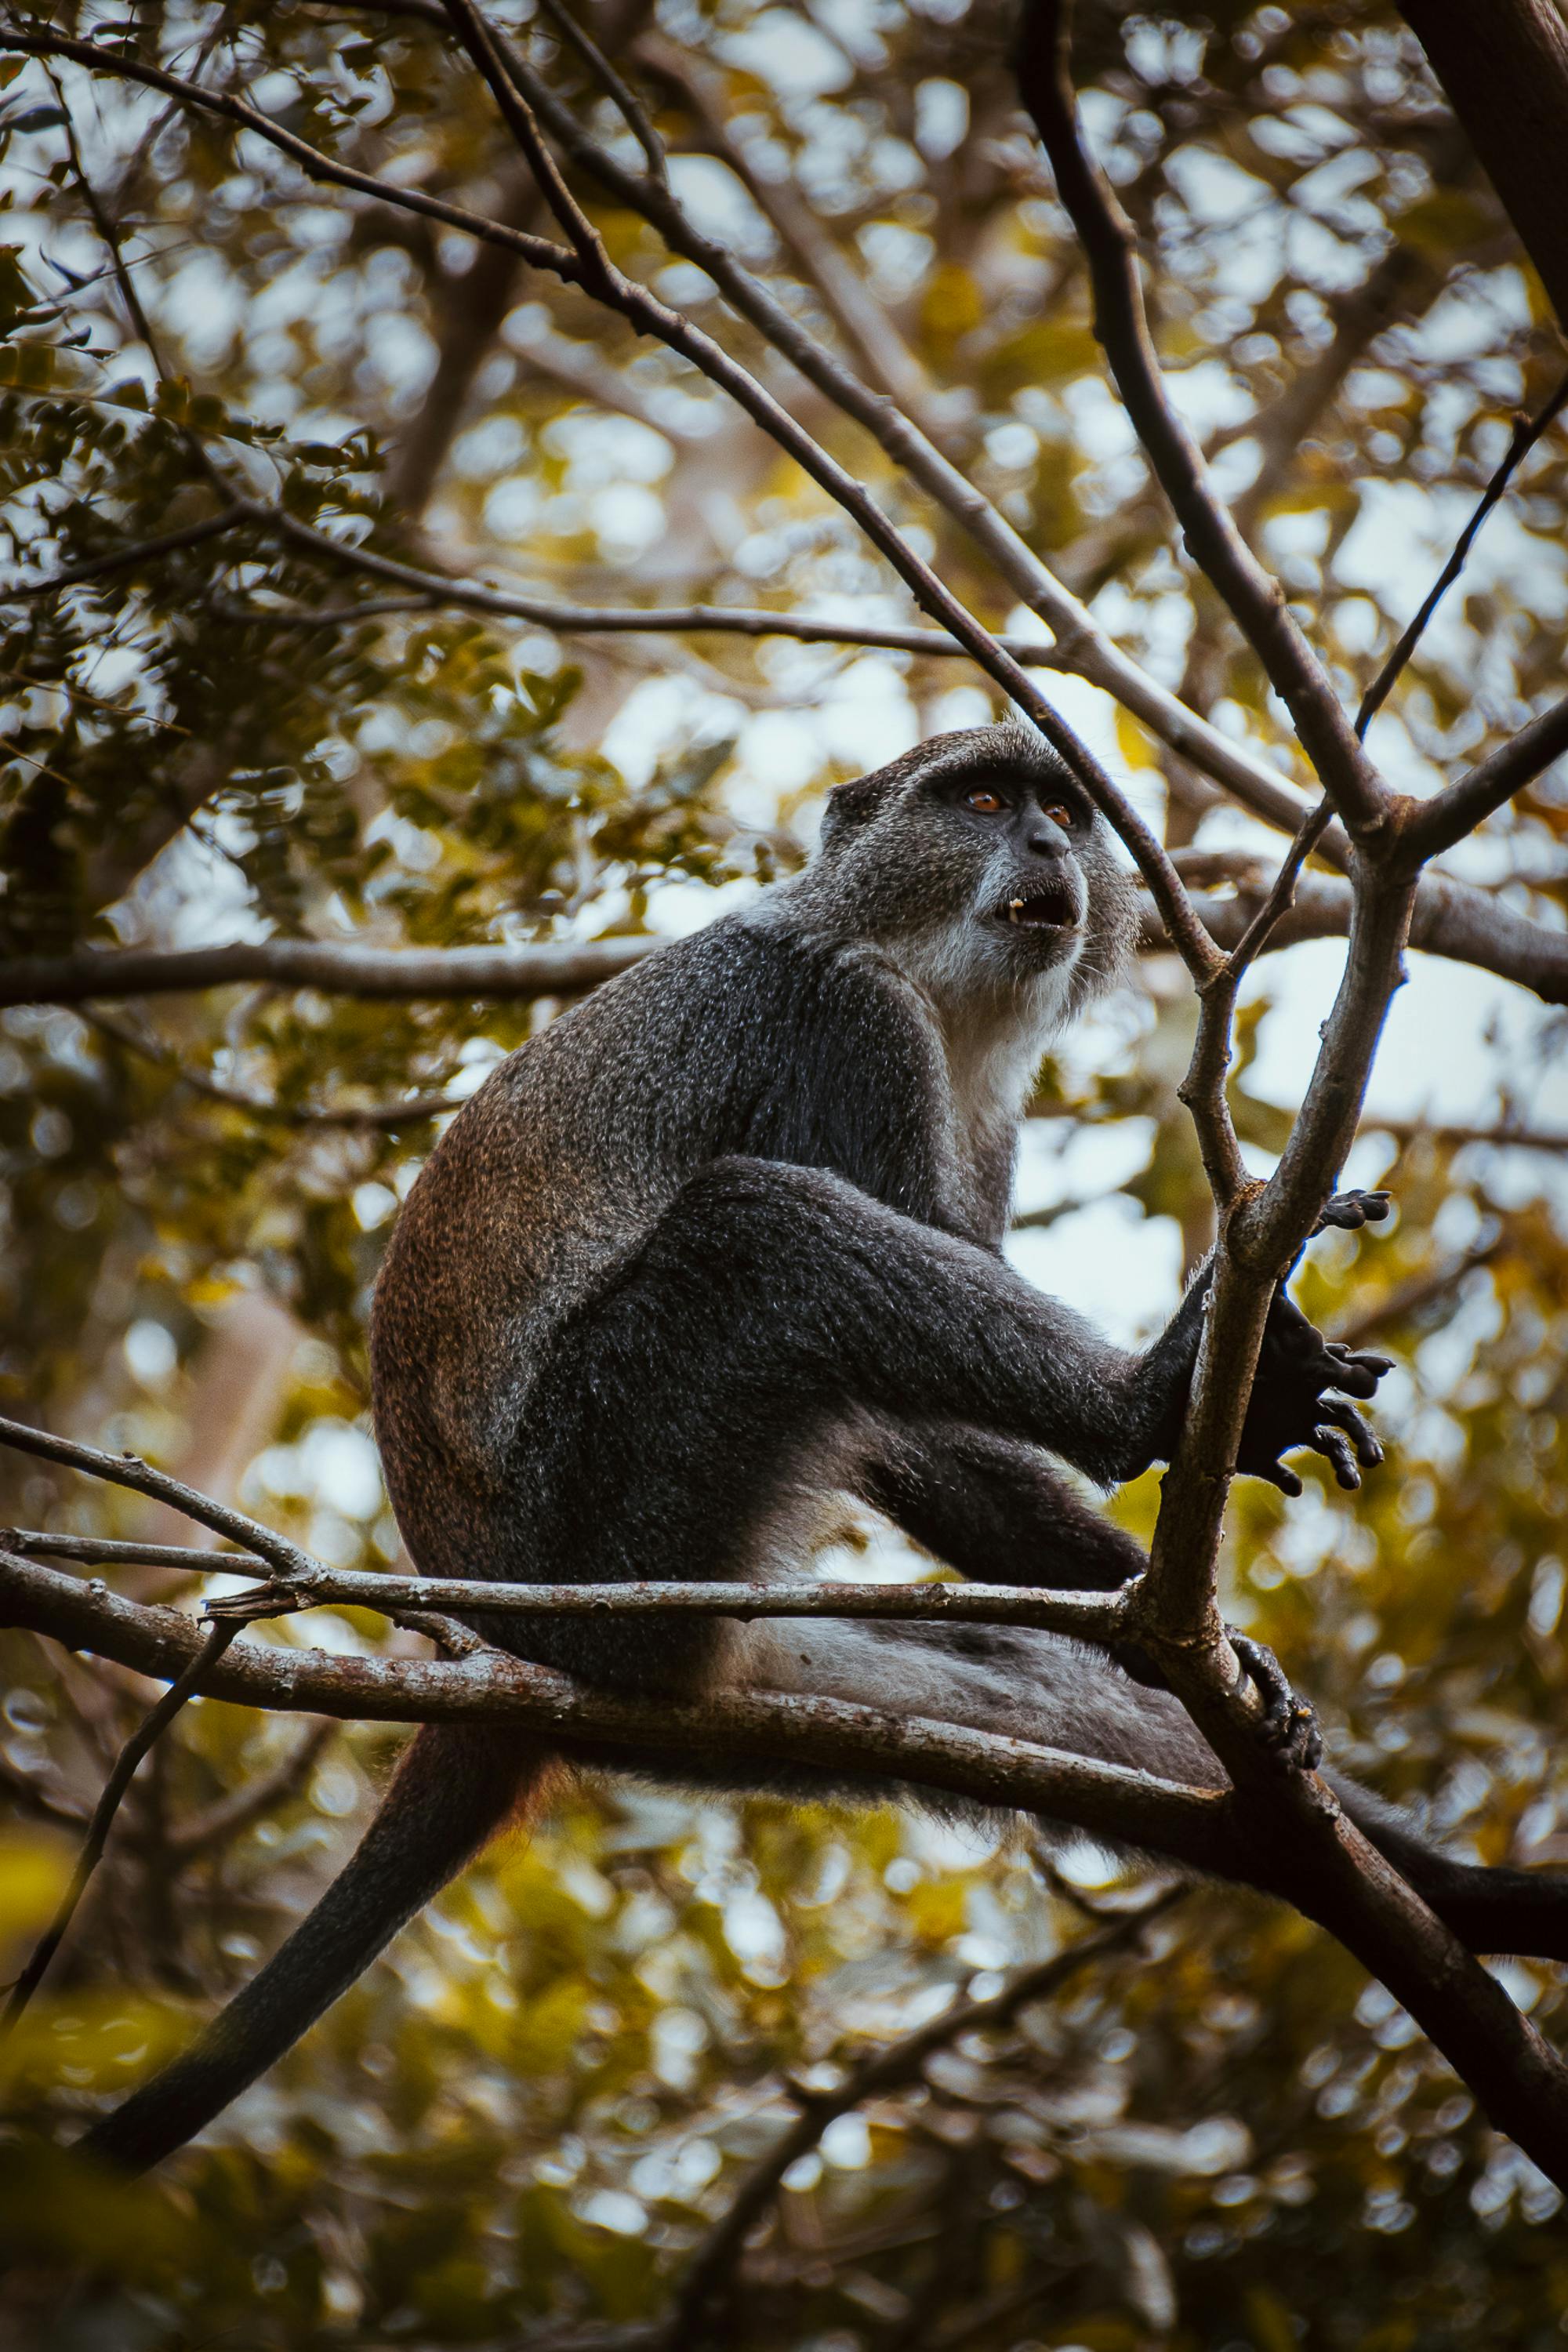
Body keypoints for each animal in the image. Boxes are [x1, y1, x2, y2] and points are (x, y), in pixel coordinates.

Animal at [81, 720, 1568, 2176]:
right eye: (981, 802)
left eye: (1066, 812)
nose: (1046, 850)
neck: (920, 974)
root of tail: (497, 1632)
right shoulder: (845, 1025)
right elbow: (891, 1364)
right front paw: (1160, 1408)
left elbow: (924, 1444)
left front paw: (1201, 1645)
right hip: (607, 1521)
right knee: (761, 1226)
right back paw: (1158, 1400)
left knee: (1038, 1693)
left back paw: (1447, 1898)